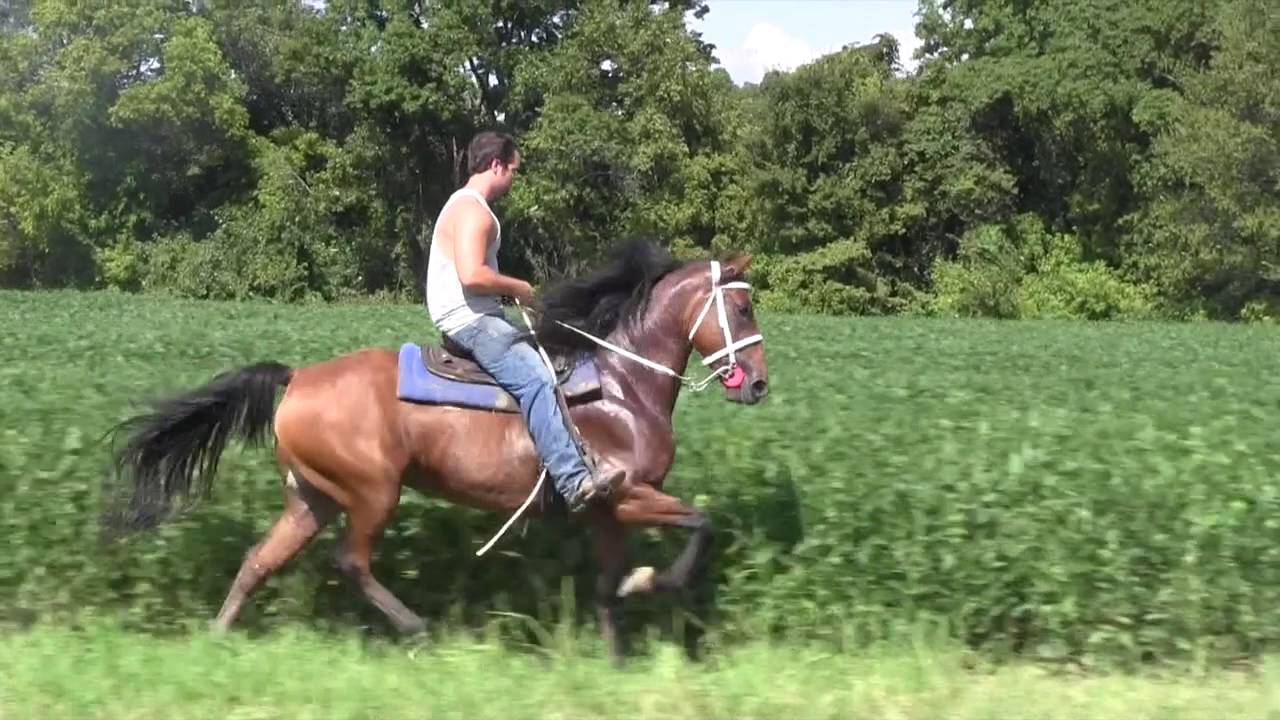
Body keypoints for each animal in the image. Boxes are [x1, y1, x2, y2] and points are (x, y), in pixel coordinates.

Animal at [102, 238, 769, 661]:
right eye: (742, 306)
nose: (759, 384)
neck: (623, 385)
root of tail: (298, 378)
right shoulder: (629, 494)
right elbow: (701, 526)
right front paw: (650, 582)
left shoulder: (606, 511)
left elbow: (608, 588)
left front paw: (617, 653)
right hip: (372, 493)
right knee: (350, 562)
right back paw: (417, 629)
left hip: (311, 499)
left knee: (259, 561)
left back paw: (216, 638)